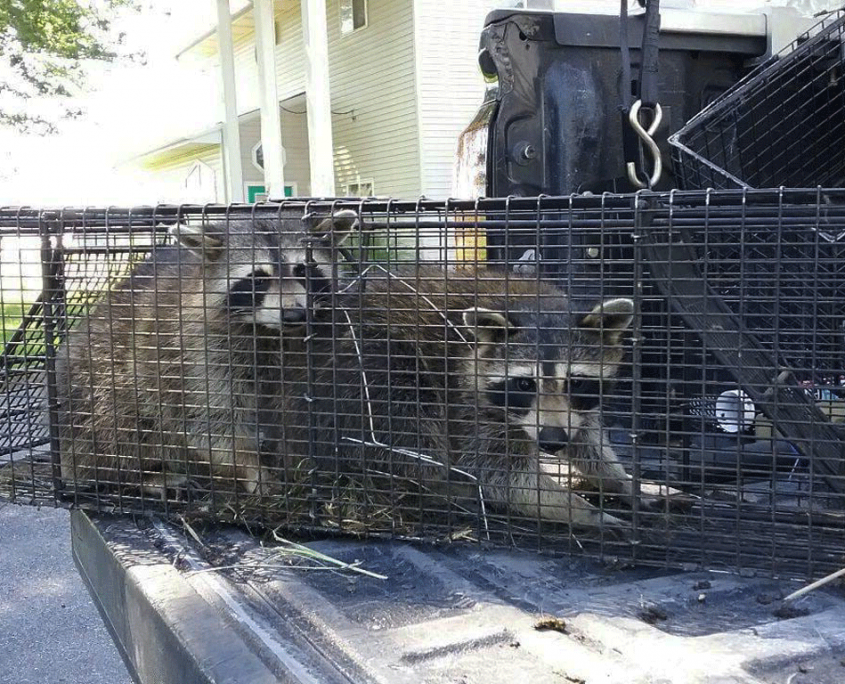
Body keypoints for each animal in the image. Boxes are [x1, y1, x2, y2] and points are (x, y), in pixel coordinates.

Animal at [55, 210, 356, 499]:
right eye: (258, 279)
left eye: (303, 270)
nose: (294, 315)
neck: (270, 331)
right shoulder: (196, 350)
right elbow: (209, 420)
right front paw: (250, 467)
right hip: (96, 387)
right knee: (121, 424)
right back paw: (144, 474)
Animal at [281, 265, 661, 530]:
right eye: (524, 385)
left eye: (577, 383)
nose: (552, 441)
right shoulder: (469, 400)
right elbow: (499, 474)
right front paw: (580, 509)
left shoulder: (578, 408)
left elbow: (587, 441)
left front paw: (625, 482)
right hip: (367, 371)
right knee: (410, 425)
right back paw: (442, 486)